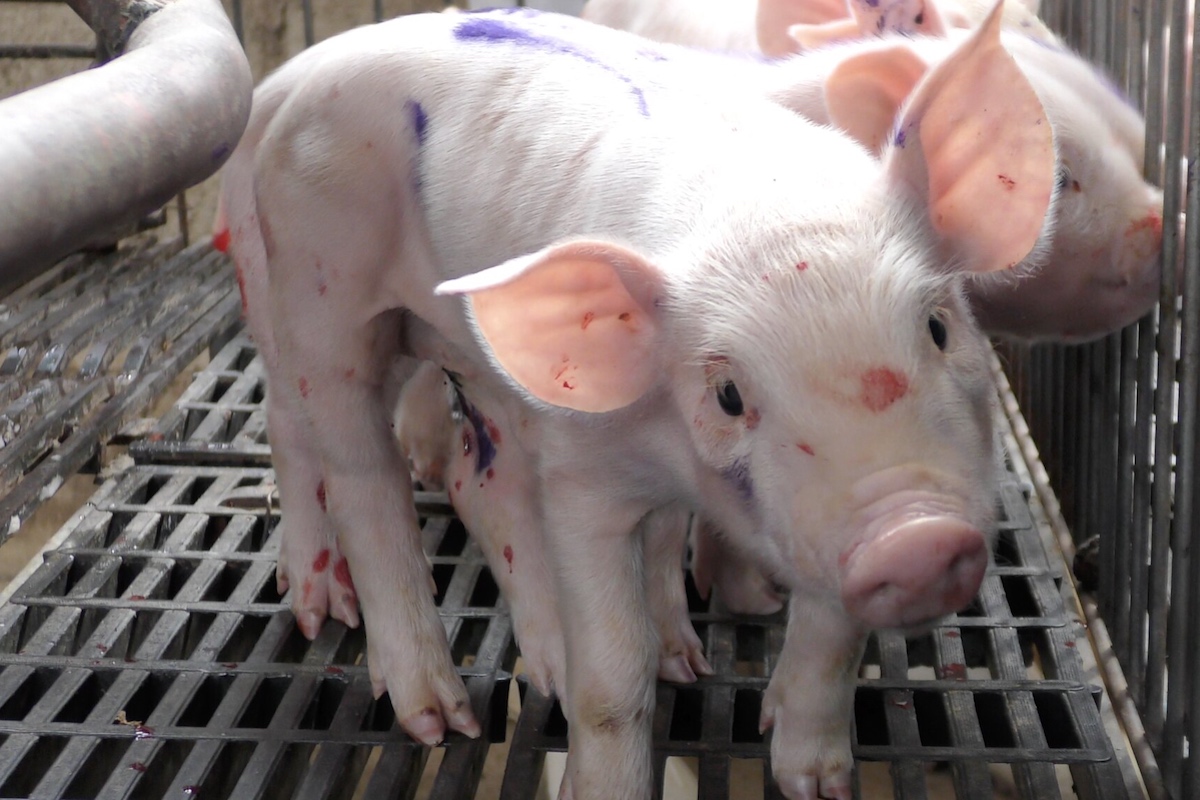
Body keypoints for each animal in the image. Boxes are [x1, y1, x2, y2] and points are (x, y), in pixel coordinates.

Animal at [217, 5, 1054, 797]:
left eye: (940, 327)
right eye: (727, 394)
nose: (916, 538)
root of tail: (296, 80)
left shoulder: (817, 515)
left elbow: (828, 643)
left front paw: (812, 780)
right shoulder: (582, 474)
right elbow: (612, 678)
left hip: (469, 356)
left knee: (474, 481)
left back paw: (606, 660)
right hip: (315, 286)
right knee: (344, 462)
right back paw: (414, 694)